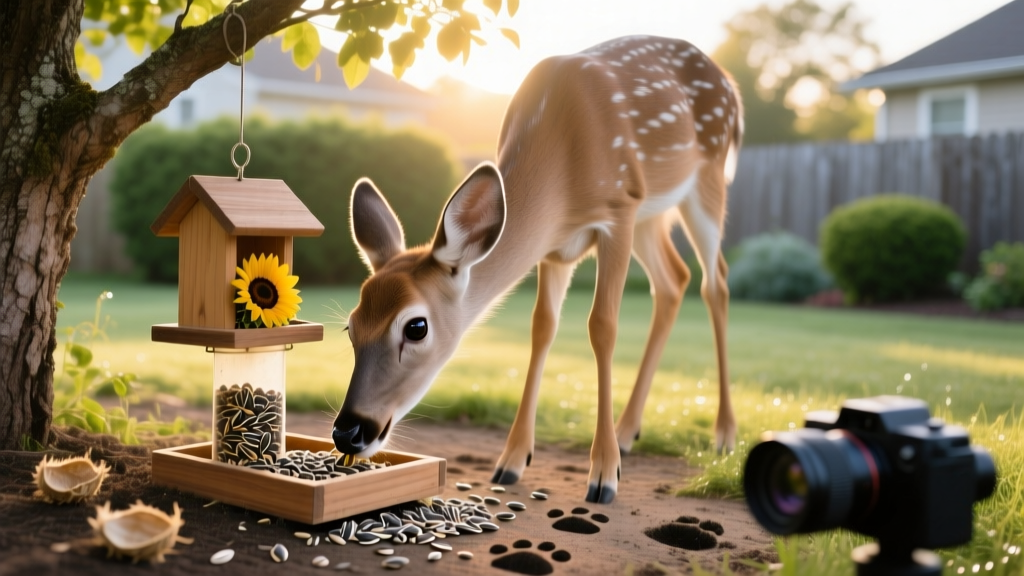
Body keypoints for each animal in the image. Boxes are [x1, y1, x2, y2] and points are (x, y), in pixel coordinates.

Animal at [332, 35, 742, 504]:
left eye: (416, 327)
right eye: (351, 326)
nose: (348, 432)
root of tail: (729, 83)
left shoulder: (618, 209)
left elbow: (603, 326)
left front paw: (603, 477)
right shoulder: (556, 247)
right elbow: (542, 326)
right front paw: (511, 461)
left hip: (704, 182)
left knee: (715, 283)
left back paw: (724, 435)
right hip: (651, 216)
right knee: (674, 280)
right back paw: (627, 432)